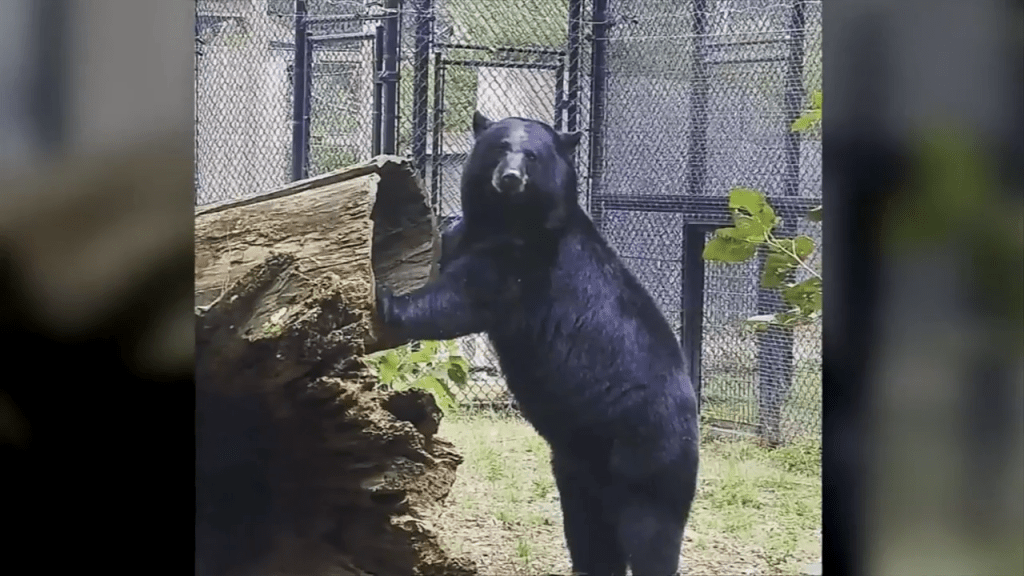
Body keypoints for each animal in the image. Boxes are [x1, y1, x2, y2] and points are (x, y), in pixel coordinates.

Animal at [375, 111, 699, 576]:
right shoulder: (473, 235)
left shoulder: (527, 265)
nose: (510, 178)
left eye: (531, 155)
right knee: (589, 532)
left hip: (646, 452)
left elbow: (463, 300)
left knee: (650, 531)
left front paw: (388, 300)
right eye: (499, 146)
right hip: (579, 467)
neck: (510, 219)